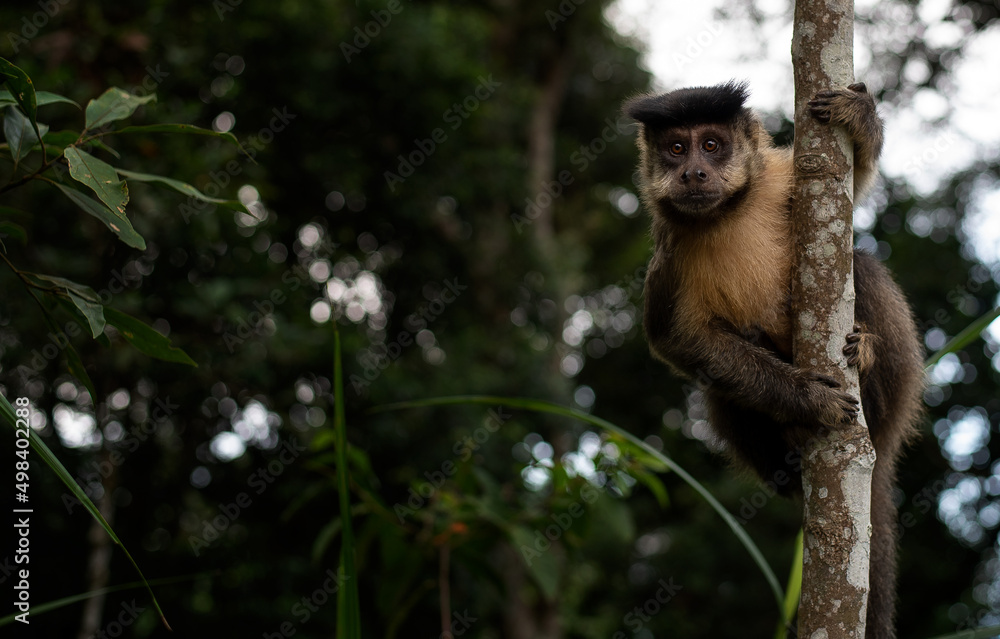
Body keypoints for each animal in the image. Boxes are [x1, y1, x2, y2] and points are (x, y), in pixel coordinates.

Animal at [624, 81, 924, 639]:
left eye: (712, 145)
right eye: (676, 148)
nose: (693, 172)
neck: (728, 210)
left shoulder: (785, 175)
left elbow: (852, 191)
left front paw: (862, 118)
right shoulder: (668, 249)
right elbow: (675, 341)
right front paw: (805, 398)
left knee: (861, 264)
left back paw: (869, 364)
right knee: (716, 385)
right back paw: (791, 459)